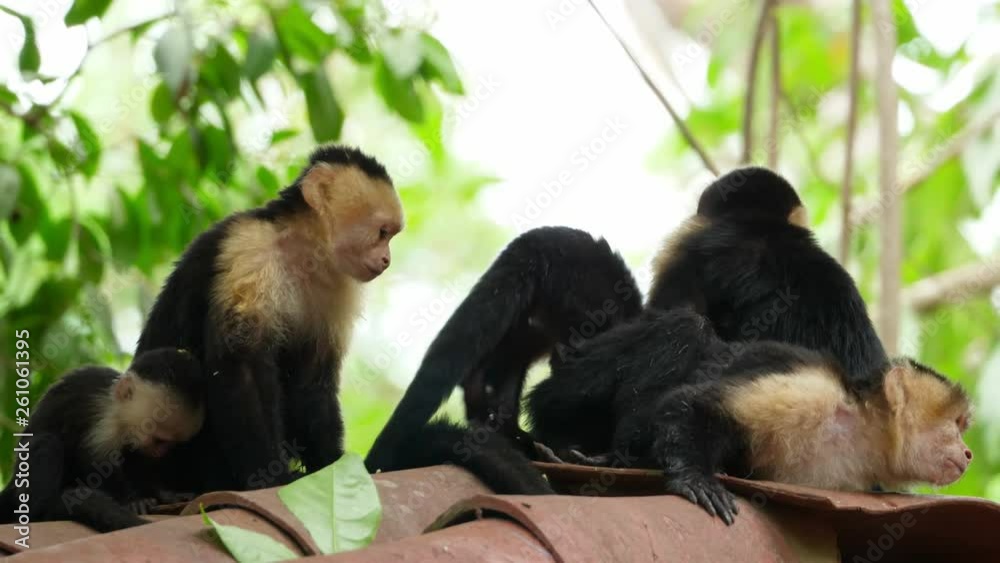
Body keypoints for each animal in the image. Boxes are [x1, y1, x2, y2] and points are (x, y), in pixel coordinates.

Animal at [0, 348, 204, 532]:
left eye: (172, 444)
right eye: (158, 440)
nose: (160, 452)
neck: (115, 404)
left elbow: (137, 460)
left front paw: (162, 493)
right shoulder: (106, 420)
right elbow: (96, 463)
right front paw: (131, 500)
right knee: (46, 442)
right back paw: (44, 511)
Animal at [134, 145, 404, 491]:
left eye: (390, 236)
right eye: (381, 233)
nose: (386, 260)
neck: (302, 253)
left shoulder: (338, 285)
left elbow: (312, 384)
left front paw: (333, 466)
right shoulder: (248, 249)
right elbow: (241, 366)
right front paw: (270, 476)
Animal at [527, 308, 973, 525]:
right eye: (955, 426)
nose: (968, 453)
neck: (859, 435)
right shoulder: (812, 393)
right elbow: (692, 402)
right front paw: (695, 479)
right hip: (572, 389)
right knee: (685, 328)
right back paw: (608, 455)